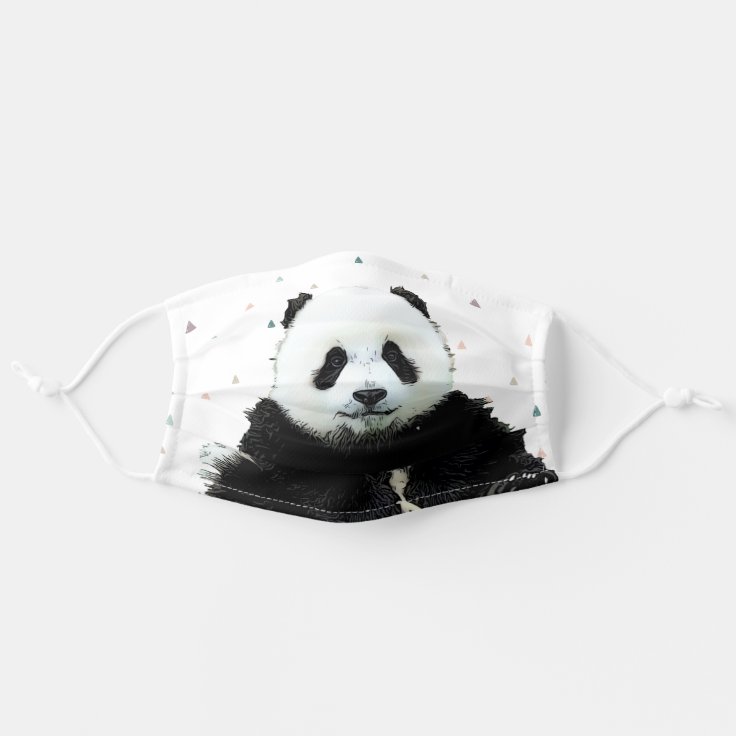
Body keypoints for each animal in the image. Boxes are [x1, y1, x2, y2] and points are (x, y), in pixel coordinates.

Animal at [201, 285, 558, 522]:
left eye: (393, 355)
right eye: (335, 360)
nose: (370, 395)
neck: (376, 442)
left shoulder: (453, 420)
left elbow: (479, 453)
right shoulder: (281, 440)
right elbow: (292, 481)